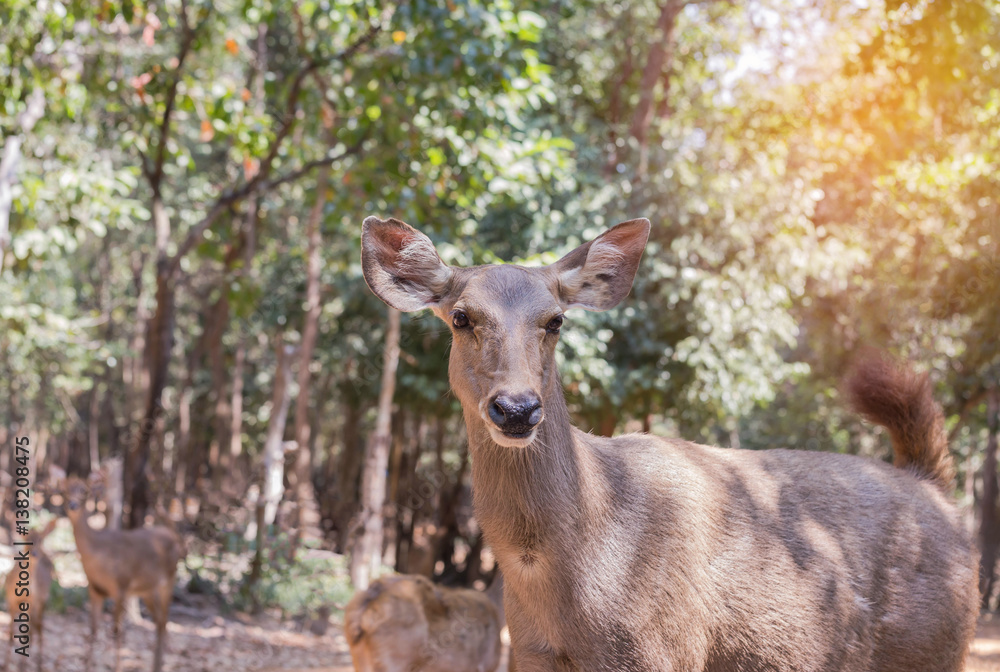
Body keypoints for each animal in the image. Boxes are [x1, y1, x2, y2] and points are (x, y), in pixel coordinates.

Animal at [3, 519, 57, 672]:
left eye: (41, 540)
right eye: (26, 539)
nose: (34, 553)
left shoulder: (32, 602)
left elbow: (26, 634)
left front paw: (22, 666)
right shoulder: (9, 600)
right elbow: (11, 636)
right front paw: (6, 666)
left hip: (42, 602)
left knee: (39, 628)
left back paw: (39, 665)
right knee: (34, 629)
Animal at [62, 476, 185, 672]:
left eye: (84, 490)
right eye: (64, 490)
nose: (72, 504)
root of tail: (174, 535)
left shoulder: (121, 586)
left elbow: (117, 631)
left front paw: (117, 666)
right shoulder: (95, 589)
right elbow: (93, 632)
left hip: (169, 579)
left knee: (164, 620)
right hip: (147, 590)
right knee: (159, 621)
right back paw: (156, 665)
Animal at [361, 215, 978, 672]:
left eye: (555, 319)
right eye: (461, 317)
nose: (516, 408)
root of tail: (937, 489)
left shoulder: (660, 649)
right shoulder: (531, 654)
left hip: (935, 648)